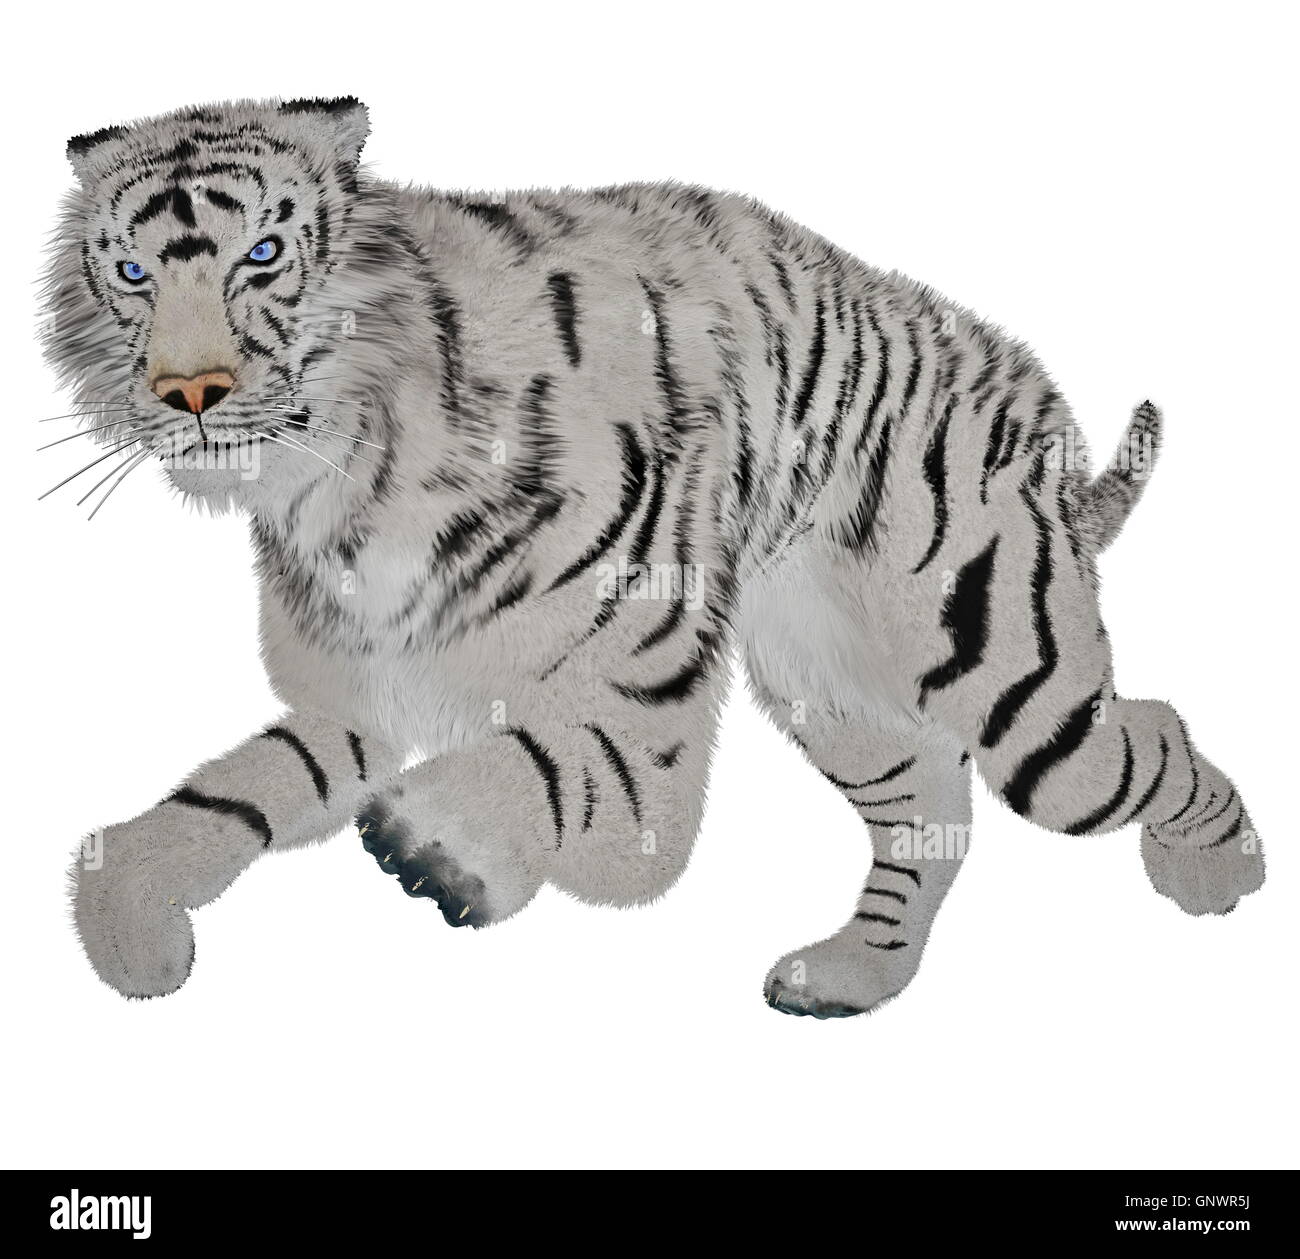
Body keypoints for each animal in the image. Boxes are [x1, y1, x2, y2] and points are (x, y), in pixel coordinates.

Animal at [44, 97, 1264, 1015]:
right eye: (133, 273)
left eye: (261, 257)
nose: (188, 393)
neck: (335, 480)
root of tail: (1037, 408)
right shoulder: (371, 680)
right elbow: (236, 792)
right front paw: (129, 920)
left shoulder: (642, 687)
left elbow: (584, 789)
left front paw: (448, 841)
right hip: (841, 700)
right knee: (933, 811)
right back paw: (849, 977)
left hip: (1012, 684)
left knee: (1148, 731)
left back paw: (1219, 873)